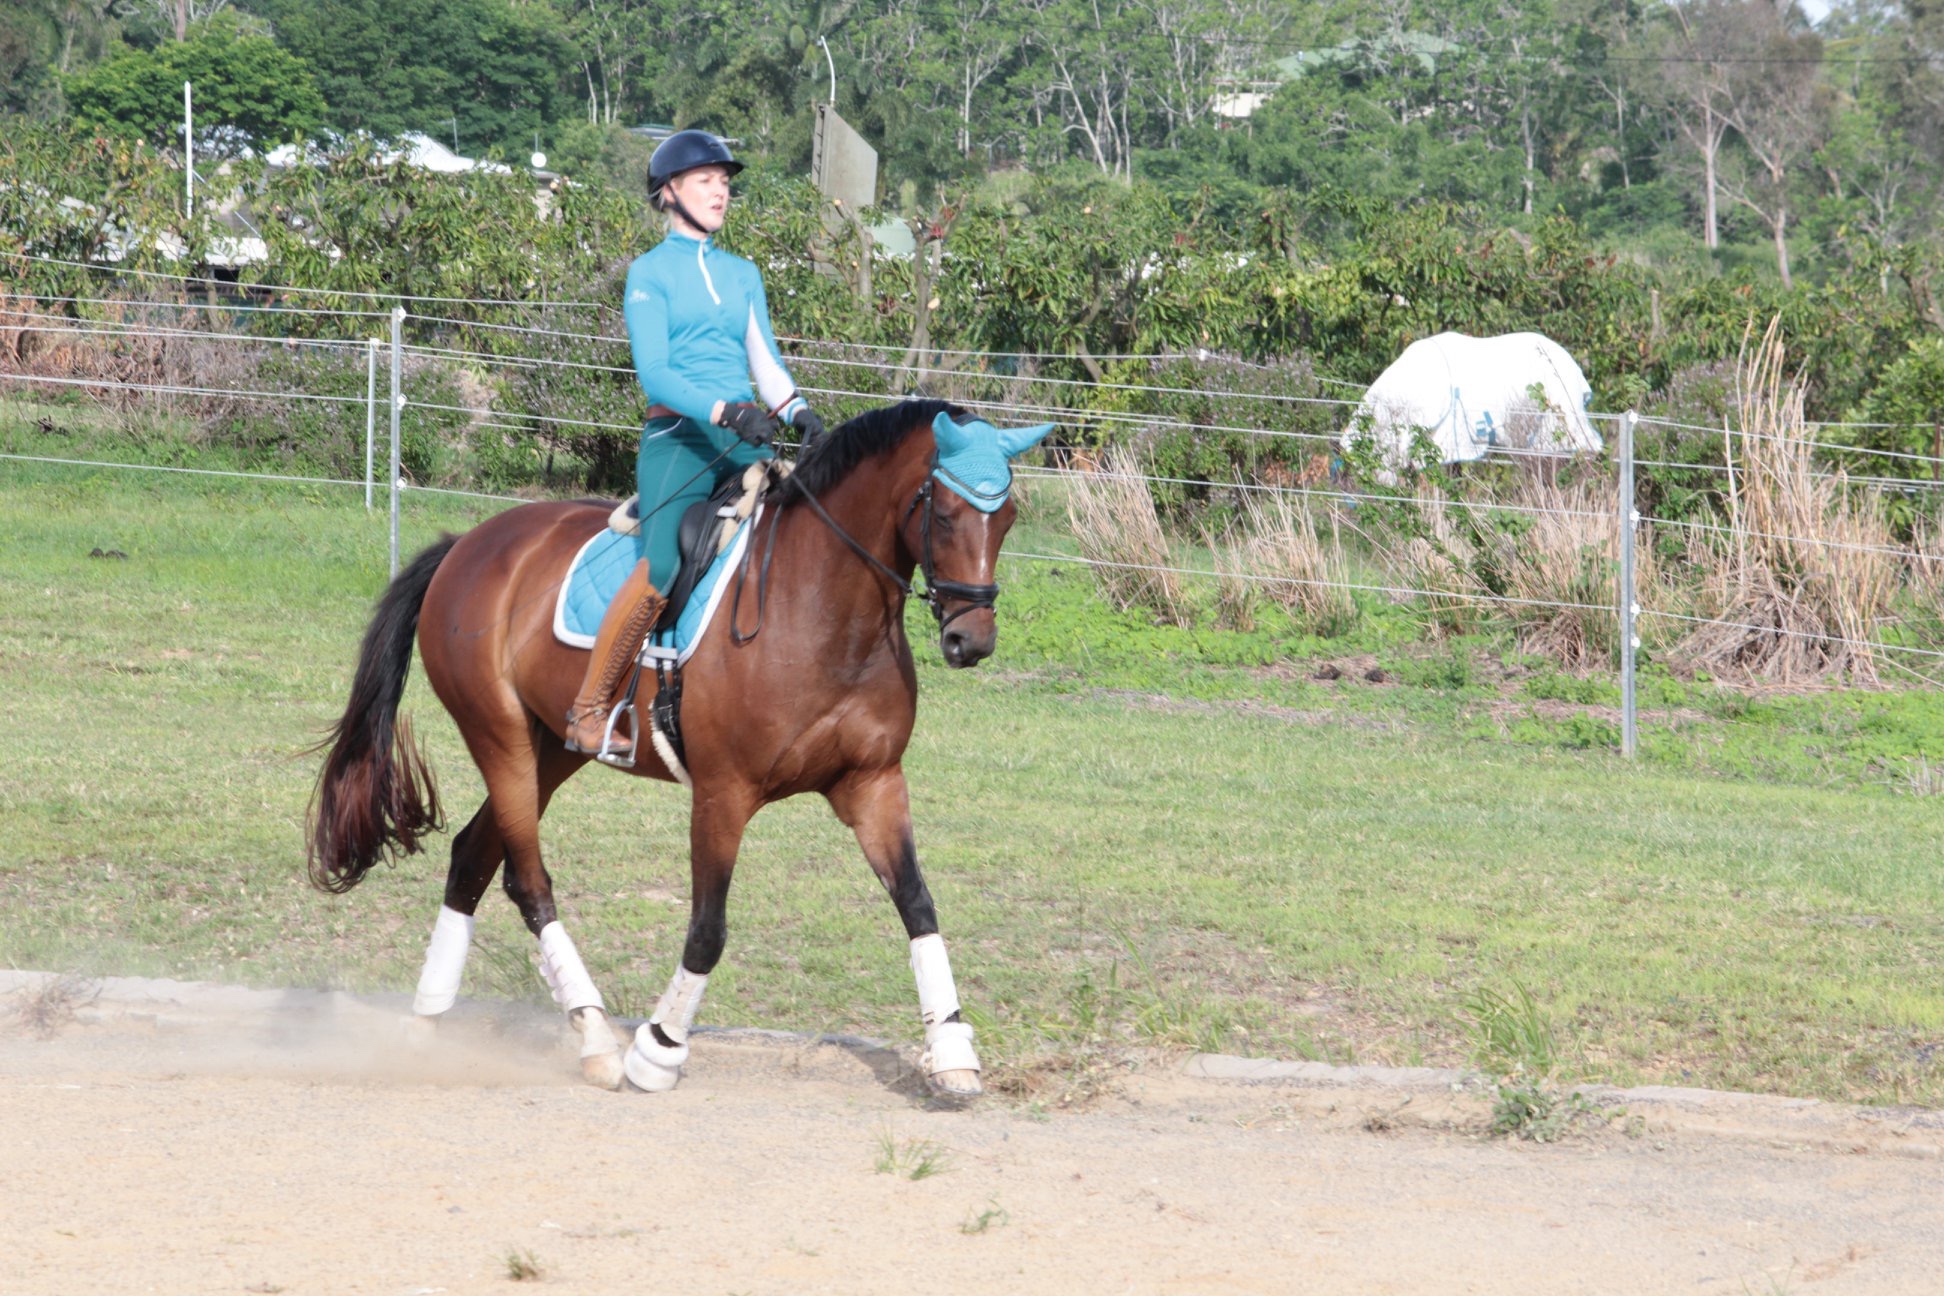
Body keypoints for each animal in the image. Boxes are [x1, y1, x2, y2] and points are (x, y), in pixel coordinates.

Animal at [306, 400, 1053, 1097]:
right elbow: (708, 927)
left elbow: (918, 905)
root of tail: (469, 542)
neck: (823, 608)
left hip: (554, 750)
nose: (971, 641)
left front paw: (953, 1053)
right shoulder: (724, 794)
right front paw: (659, 1049)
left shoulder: (872, 782)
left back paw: (428, 1021)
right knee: (528, 879)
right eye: (947, 514)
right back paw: (596, 1038)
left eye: (1008, 517)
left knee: (475, 856)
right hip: (501, 738)